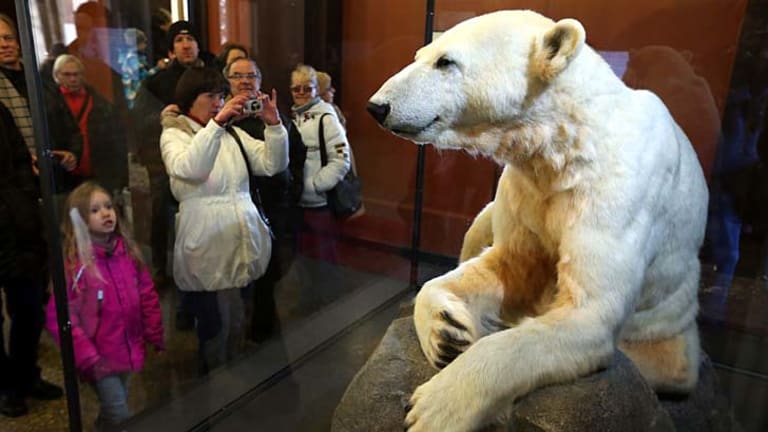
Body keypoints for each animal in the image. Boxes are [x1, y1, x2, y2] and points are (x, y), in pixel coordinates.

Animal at [366, 10, 709, 432]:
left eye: (446, 62)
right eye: (420, 54)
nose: (378, 106)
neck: (568, 141)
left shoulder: (615, 196)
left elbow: (588, 311)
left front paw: (435, 407)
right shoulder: (526, 190)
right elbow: (507, 263)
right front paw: (447, 332)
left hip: (665, 329)